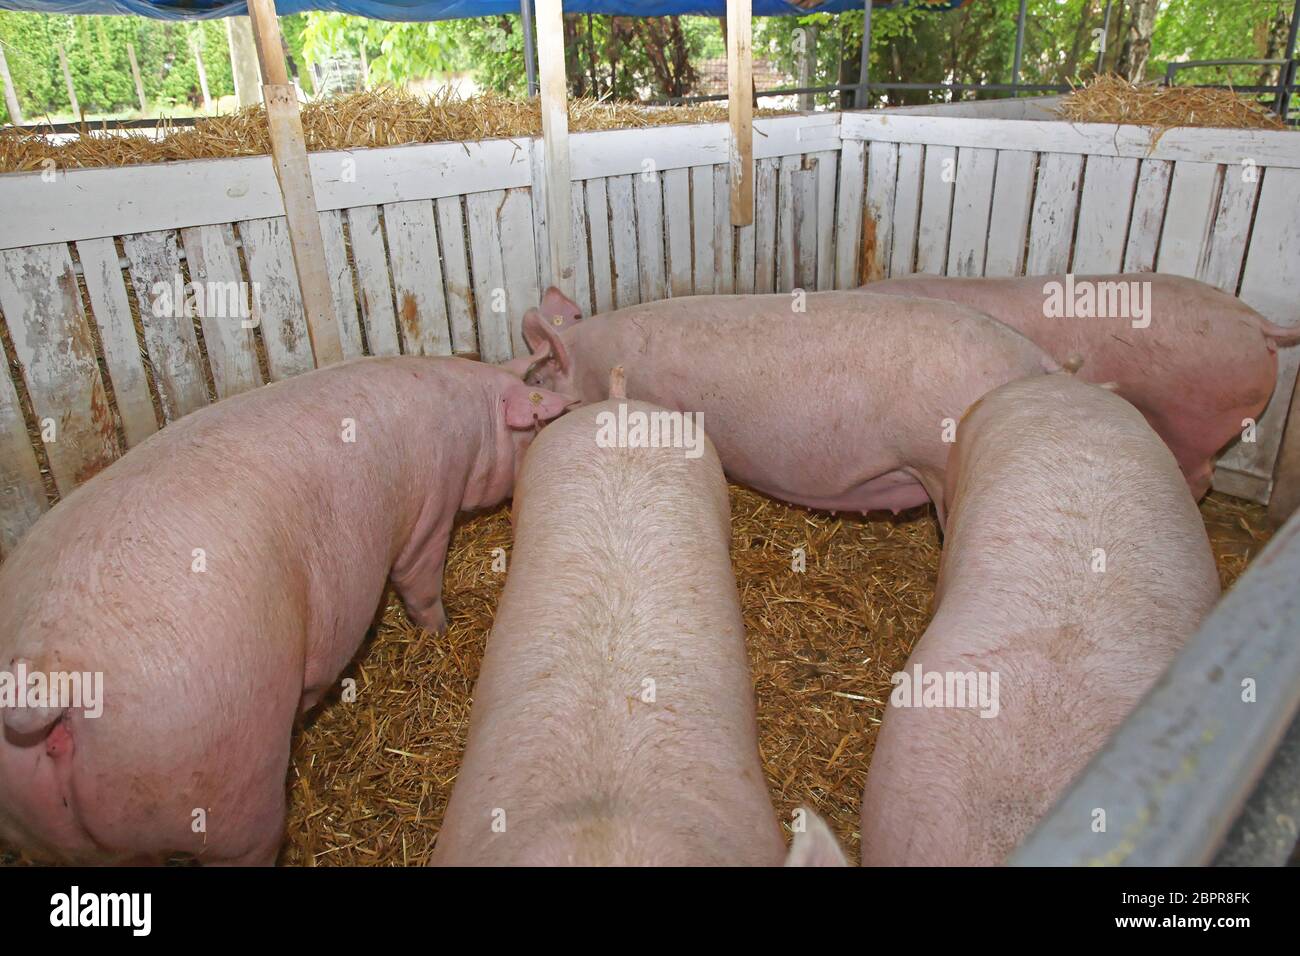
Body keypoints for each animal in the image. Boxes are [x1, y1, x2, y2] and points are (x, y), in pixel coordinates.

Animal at [0, 356, 572, 866]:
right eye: (529, 429)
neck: (471, 418)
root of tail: (51, 674)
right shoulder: (430, 511)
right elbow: (419, 581)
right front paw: (439, 630)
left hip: (60, 827)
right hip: (223, 786)